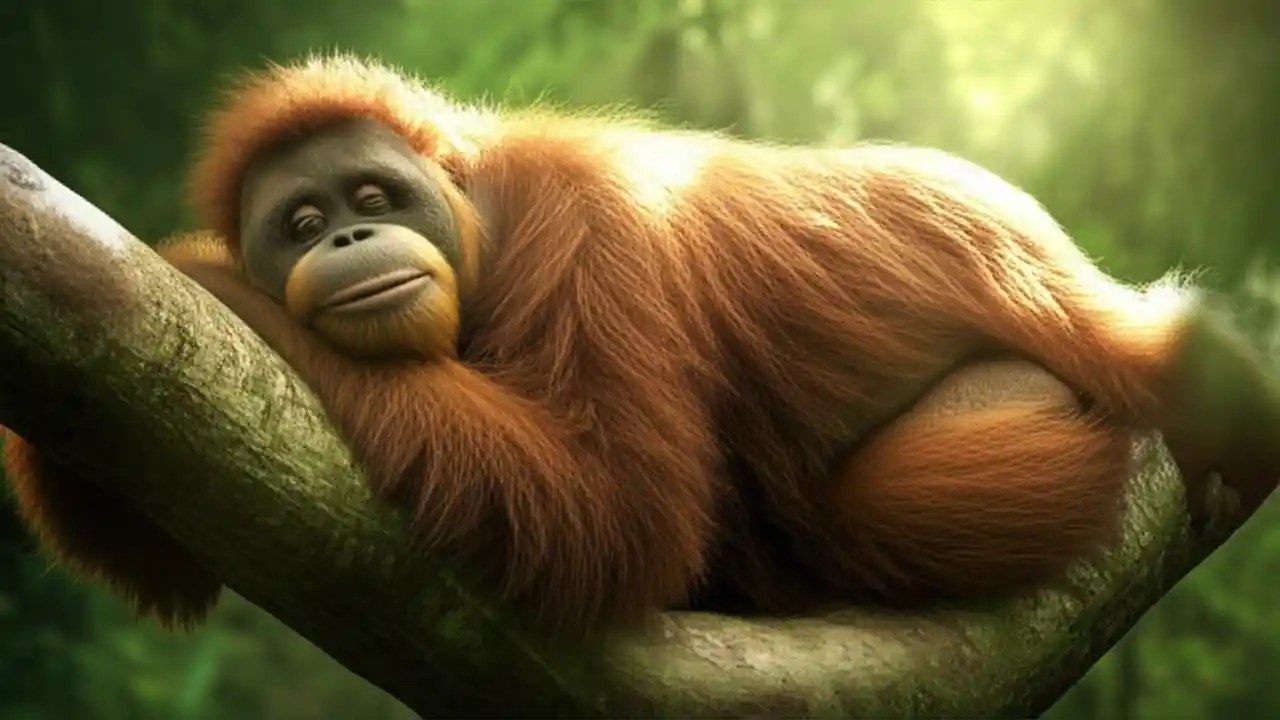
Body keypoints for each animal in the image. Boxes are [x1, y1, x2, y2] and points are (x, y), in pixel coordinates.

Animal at [3, 55, 1277, 636]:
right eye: (303, 224)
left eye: (370, 196)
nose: (354, 236)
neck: (481, 225)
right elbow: (167, 530)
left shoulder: (584, 226)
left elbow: (612, 517)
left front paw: (202, 273)